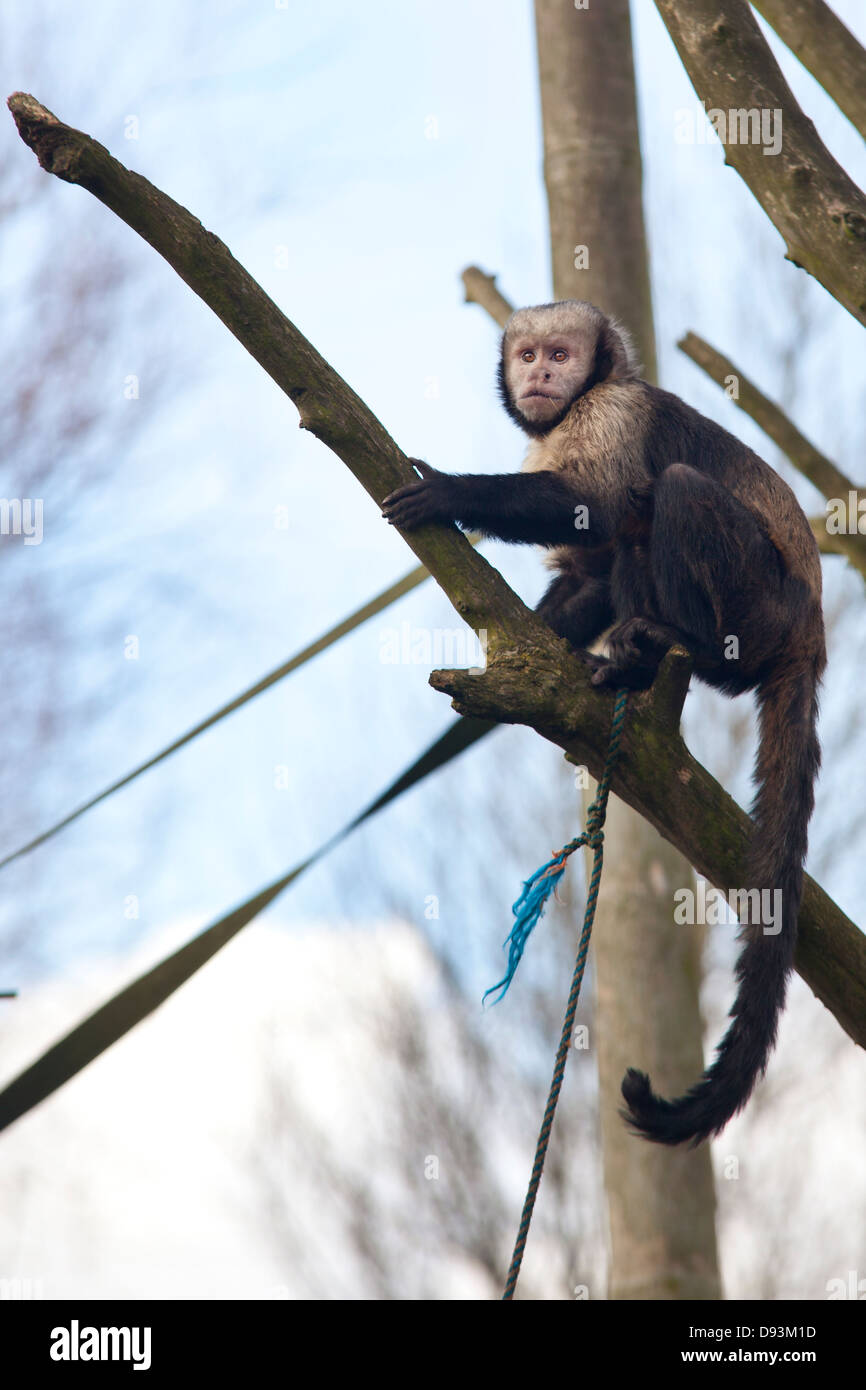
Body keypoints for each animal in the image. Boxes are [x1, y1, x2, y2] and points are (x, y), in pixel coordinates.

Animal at [381, 299, 825, 1148]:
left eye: (560, 353)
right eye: (527, 355)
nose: (541, 376)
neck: (576, 404)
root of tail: (810, 627)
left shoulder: (612, 411)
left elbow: (603, 500)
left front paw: (450, 492)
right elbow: (588, 569)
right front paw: (528, 658)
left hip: (759, 603)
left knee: (665, 495)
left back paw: (679, 644)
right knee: (633, 537)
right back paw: (632, 664)